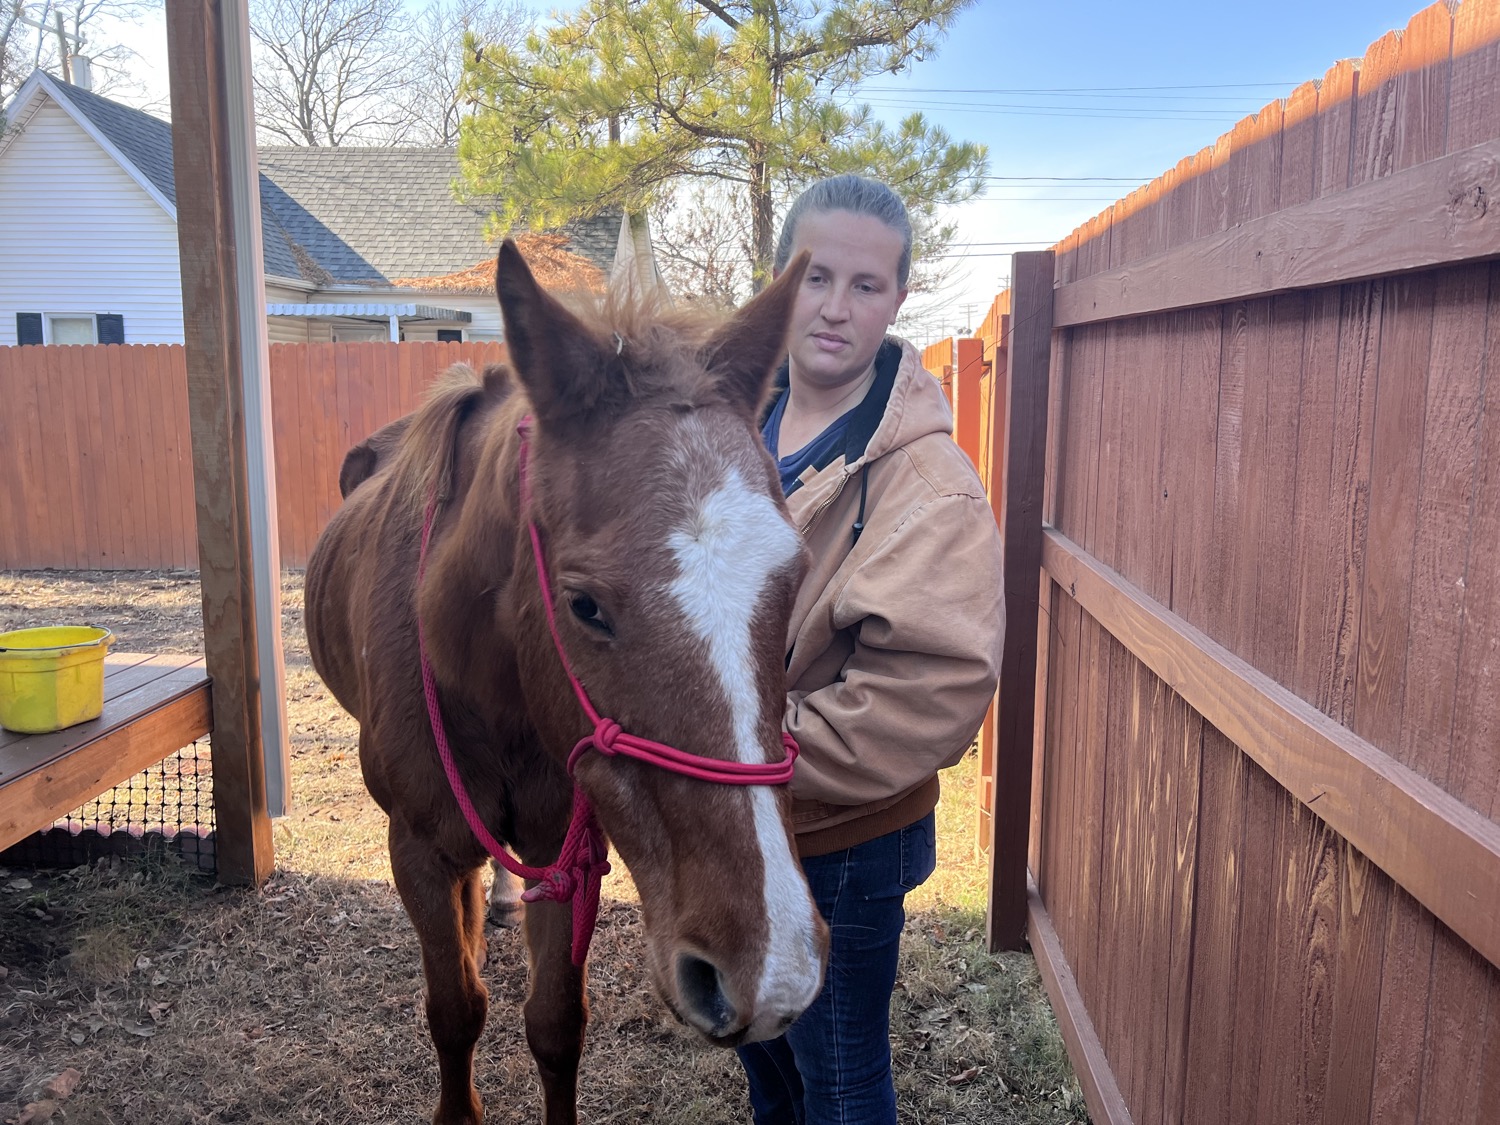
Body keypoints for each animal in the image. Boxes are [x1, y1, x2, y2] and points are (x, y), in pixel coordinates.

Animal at [304, 241, 829, 1125]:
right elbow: (456, 1009)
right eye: (584, 604)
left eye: (794, 578)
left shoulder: (566, 849)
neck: (484, 682)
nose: (773, 972)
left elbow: (554, 1022)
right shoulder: (416, 849)